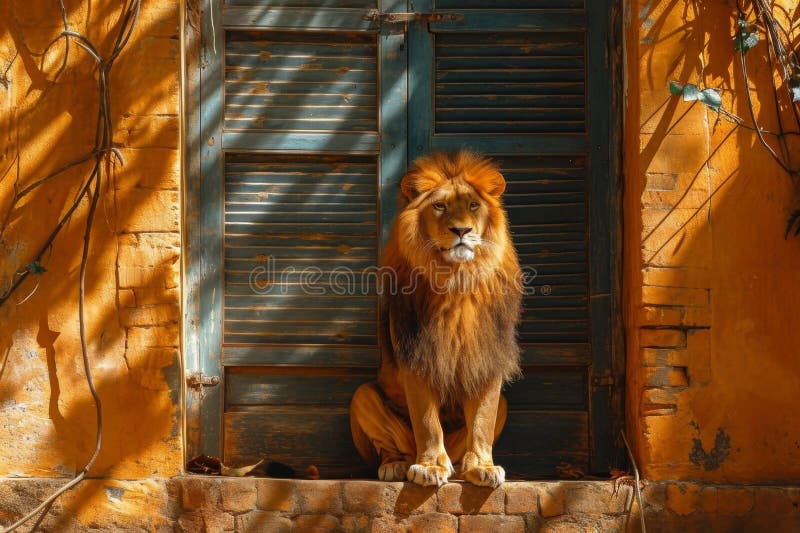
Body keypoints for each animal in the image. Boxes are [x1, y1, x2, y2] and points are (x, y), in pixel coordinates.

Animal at [349, 151, 522, 487]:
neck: (457, 280)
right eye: (440, 206)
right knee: (393, 446)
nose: (462, 231)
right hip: (362, 396)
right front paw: (430, 467)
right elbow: (427, 421)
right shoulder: (416, 356)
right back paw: (397, 465)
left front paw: (483, 466)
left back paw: (462, 465)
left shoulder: (488, 356)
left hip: (504, 405)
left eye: (473, 205)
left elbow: (482, 420)